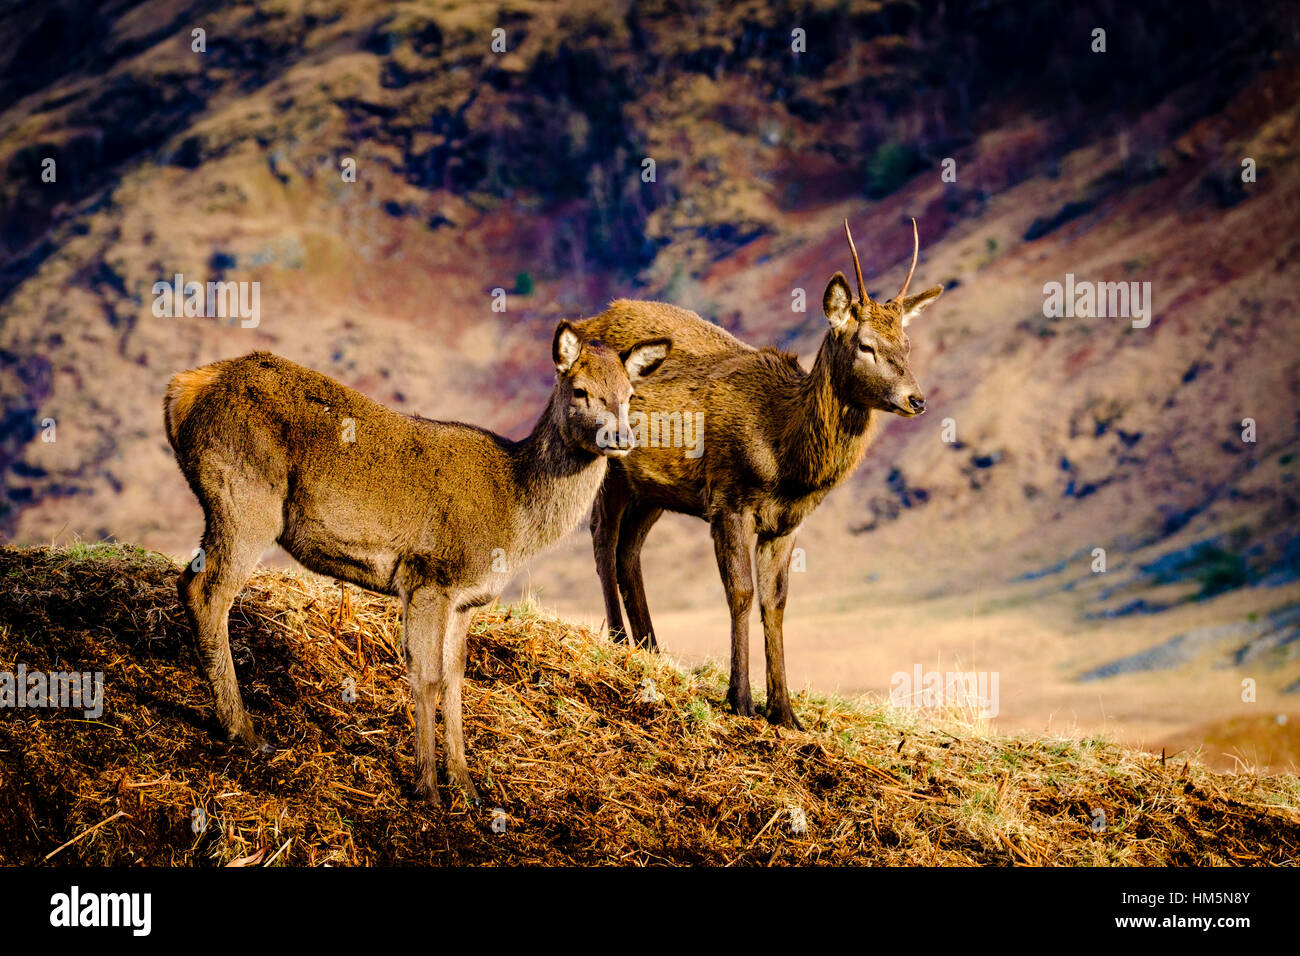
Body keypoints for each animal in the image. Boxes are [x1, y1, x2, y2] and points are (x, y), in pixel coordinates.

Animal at [163, 324, 670, 805]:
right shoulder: (430, 576)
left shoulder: (467, 600)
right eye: (580, 389)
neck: (516, 516)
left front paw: (466, 785)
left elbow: (455, 680)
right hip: (247, 496)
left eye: (629, 394)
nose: (620, 437)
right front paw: (426, 785)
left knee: (190, 581)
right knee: (208, 592)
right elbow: (424, 678)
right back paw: (244, 731)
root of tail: (182, 389)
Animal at [574, 221, 943, 728]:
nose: (916, 399)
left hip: (655, 489)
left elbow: (776, 601)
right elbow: (741, 592)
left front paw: (785, 710)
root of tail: (587, 324)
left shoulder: (786, 522)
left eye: (907, 345)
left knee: (629, 548)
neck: (786, 459)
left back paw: (652, 649)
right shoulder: (729, 499)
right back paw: (617, 640)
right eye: (865, 345)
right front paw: (741, 699)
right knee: (602, 536)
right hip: (610, 460)